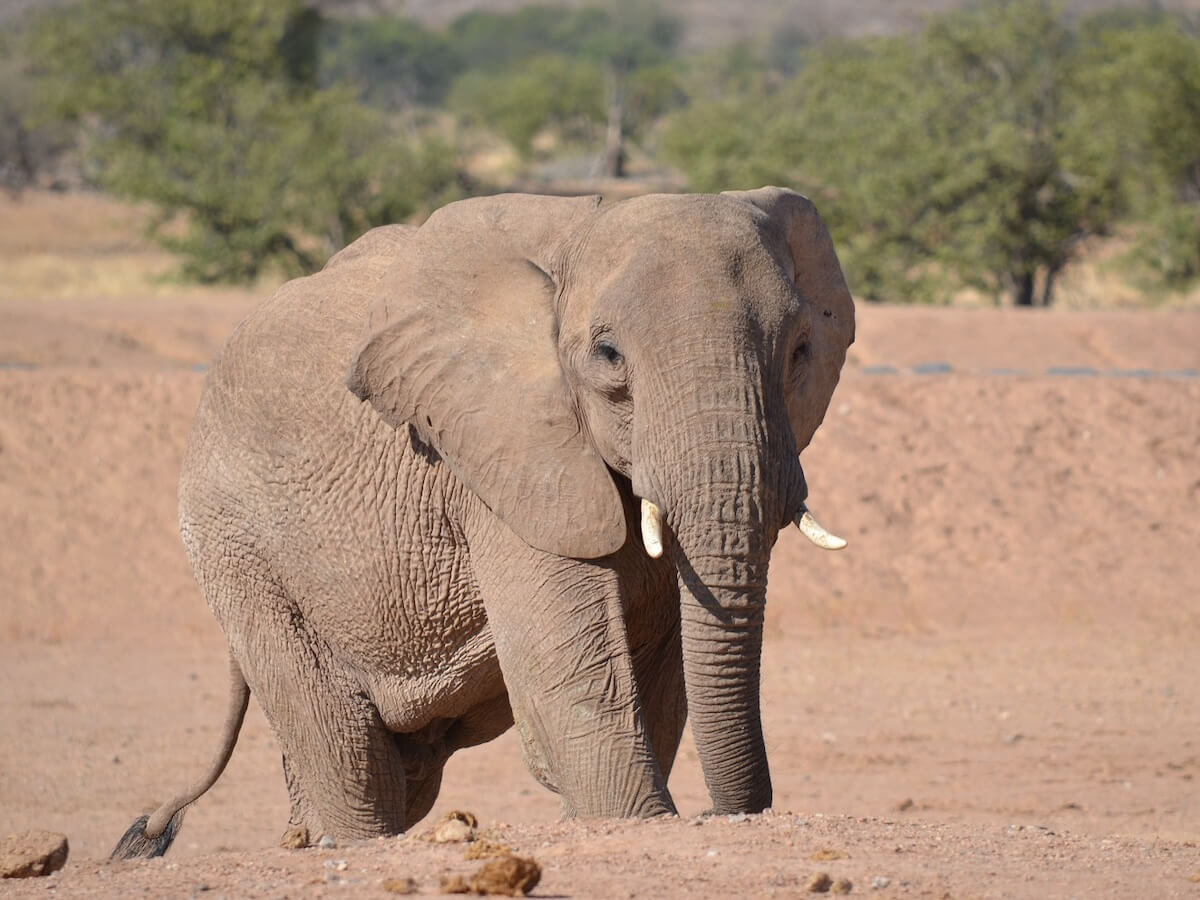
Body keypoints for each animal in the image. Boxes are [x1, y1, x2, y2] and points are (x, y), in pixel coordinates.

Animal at [111, 186, 855, 859]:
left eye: (801, 350)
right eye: (609, 357)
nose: (735, 815)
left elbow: (662, 672)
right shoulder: (495, 459)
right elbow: (568, 673)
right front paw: (633, 821)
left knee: (402, 767)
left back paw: (307, 841)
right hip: (234, 543)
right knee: (347, 748)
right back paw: (347, 842)